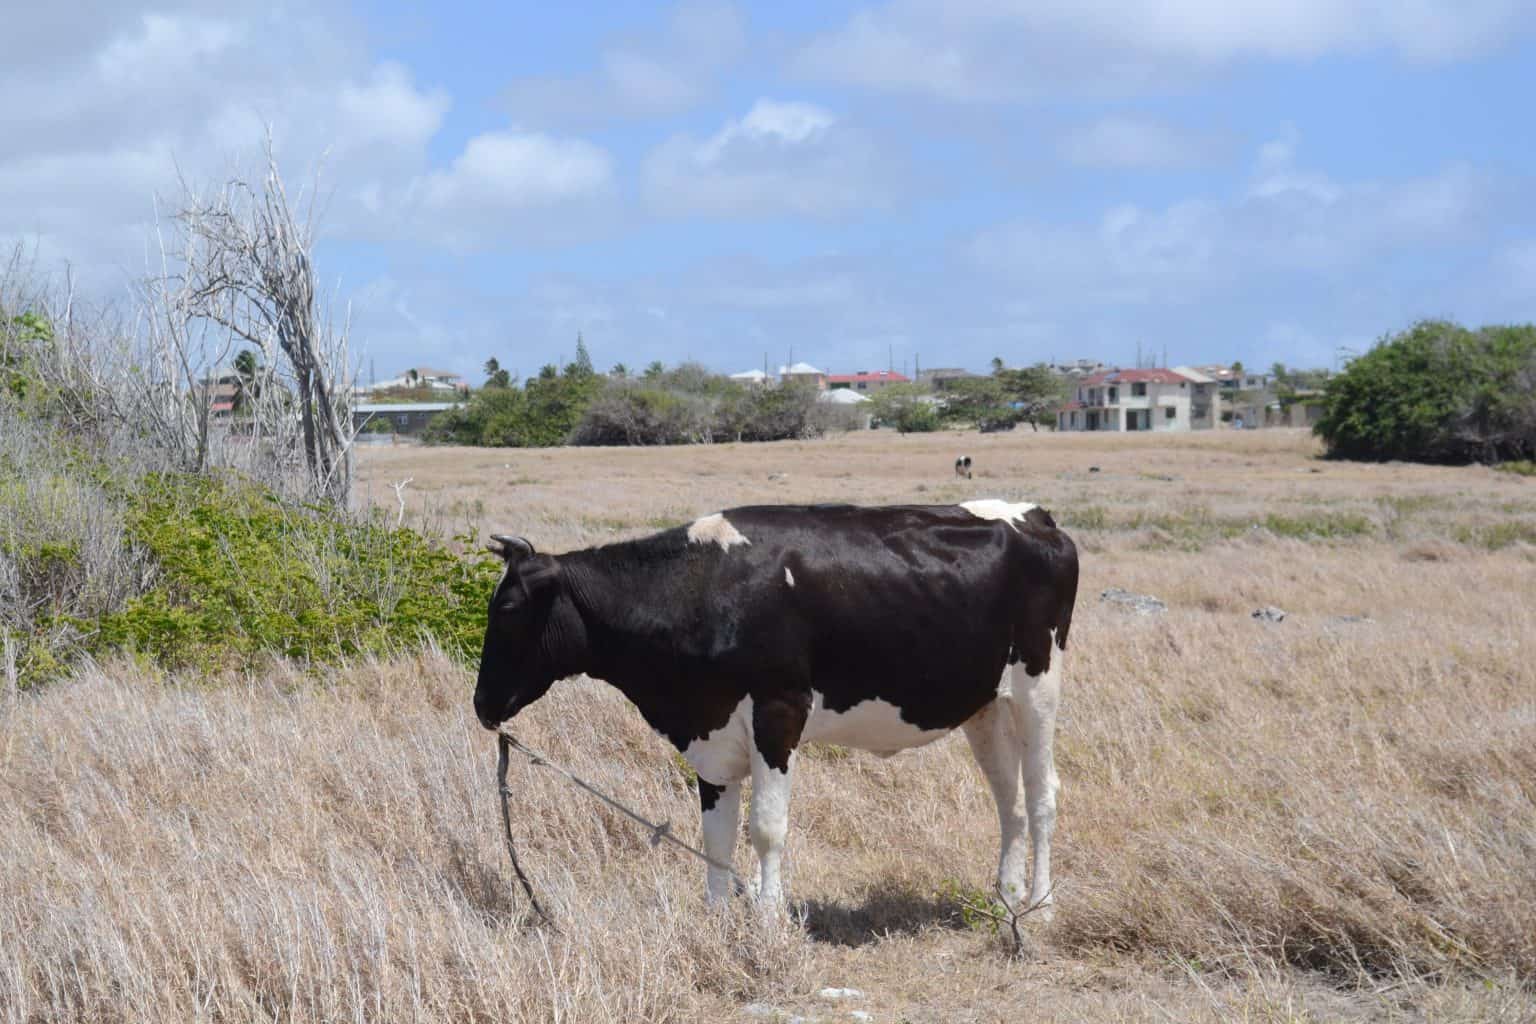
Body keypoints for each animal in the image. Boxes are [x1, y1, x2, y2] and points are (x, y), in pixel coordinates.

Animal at [474, 499, 1079, 918]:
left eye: (507, 607)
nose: (482, 704)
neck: (700, 590)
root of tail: (1036, 517)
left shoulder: (778, 712)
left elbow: (766, 828)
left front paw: (768, 919)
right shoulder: (710, 731)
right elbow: (716, 837)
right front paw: (717, 918)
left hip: (1039, 683)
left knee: (1041, 793)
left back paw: (1041, 904)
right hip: (985, 706)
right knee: (1008, 800)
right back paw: (1006, 897)